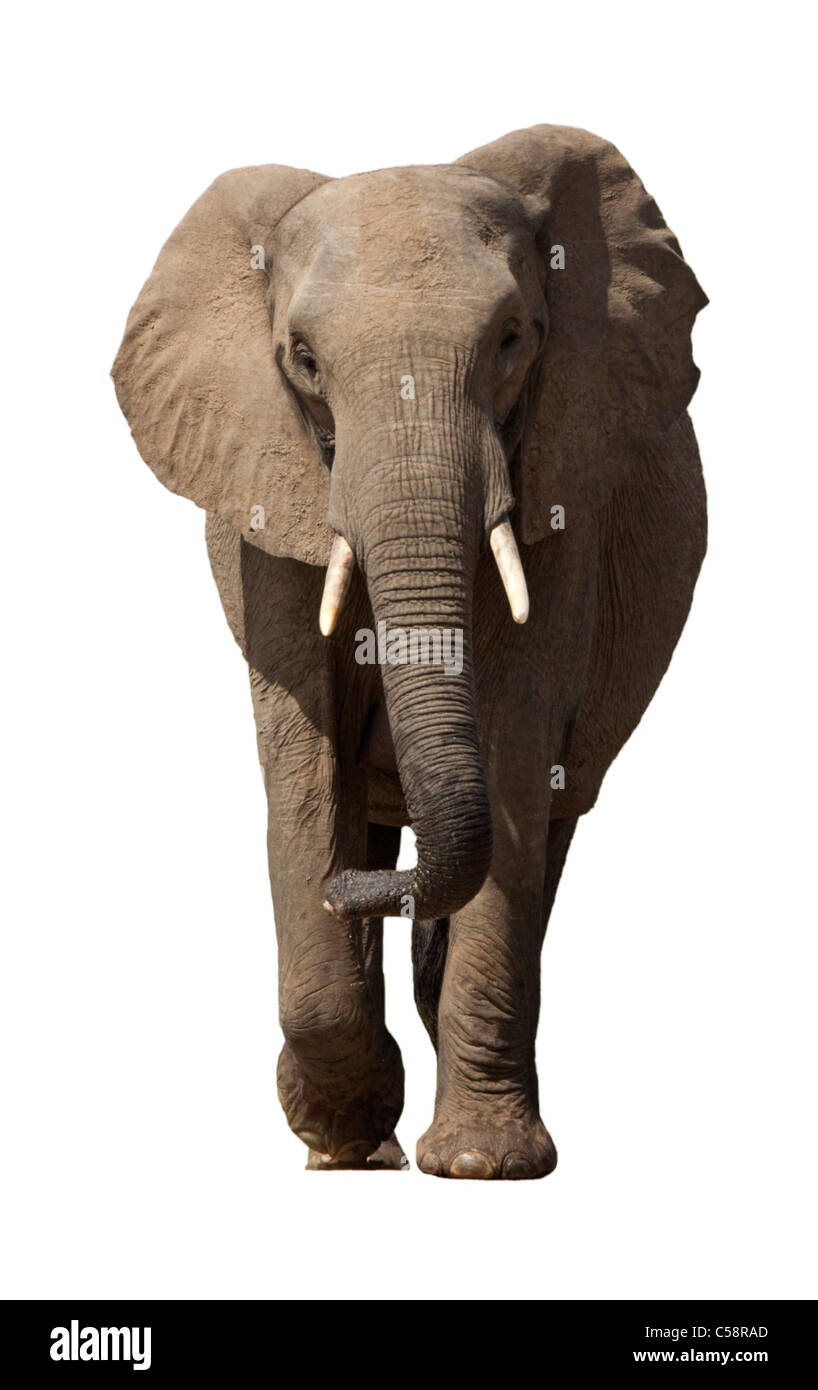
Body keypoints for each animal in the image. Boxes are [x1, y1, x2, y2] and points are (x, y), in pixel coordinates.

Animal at [112, 124, 707, 1180]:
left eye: (513, 340)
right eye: (303, 359)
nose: (356, 901)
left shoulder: (563, 480)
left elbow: (513, 749)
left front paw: (482, 1165)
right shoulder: (271, 491)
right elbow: (304, 764)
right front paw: (344, 1145)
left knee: (546, 831)